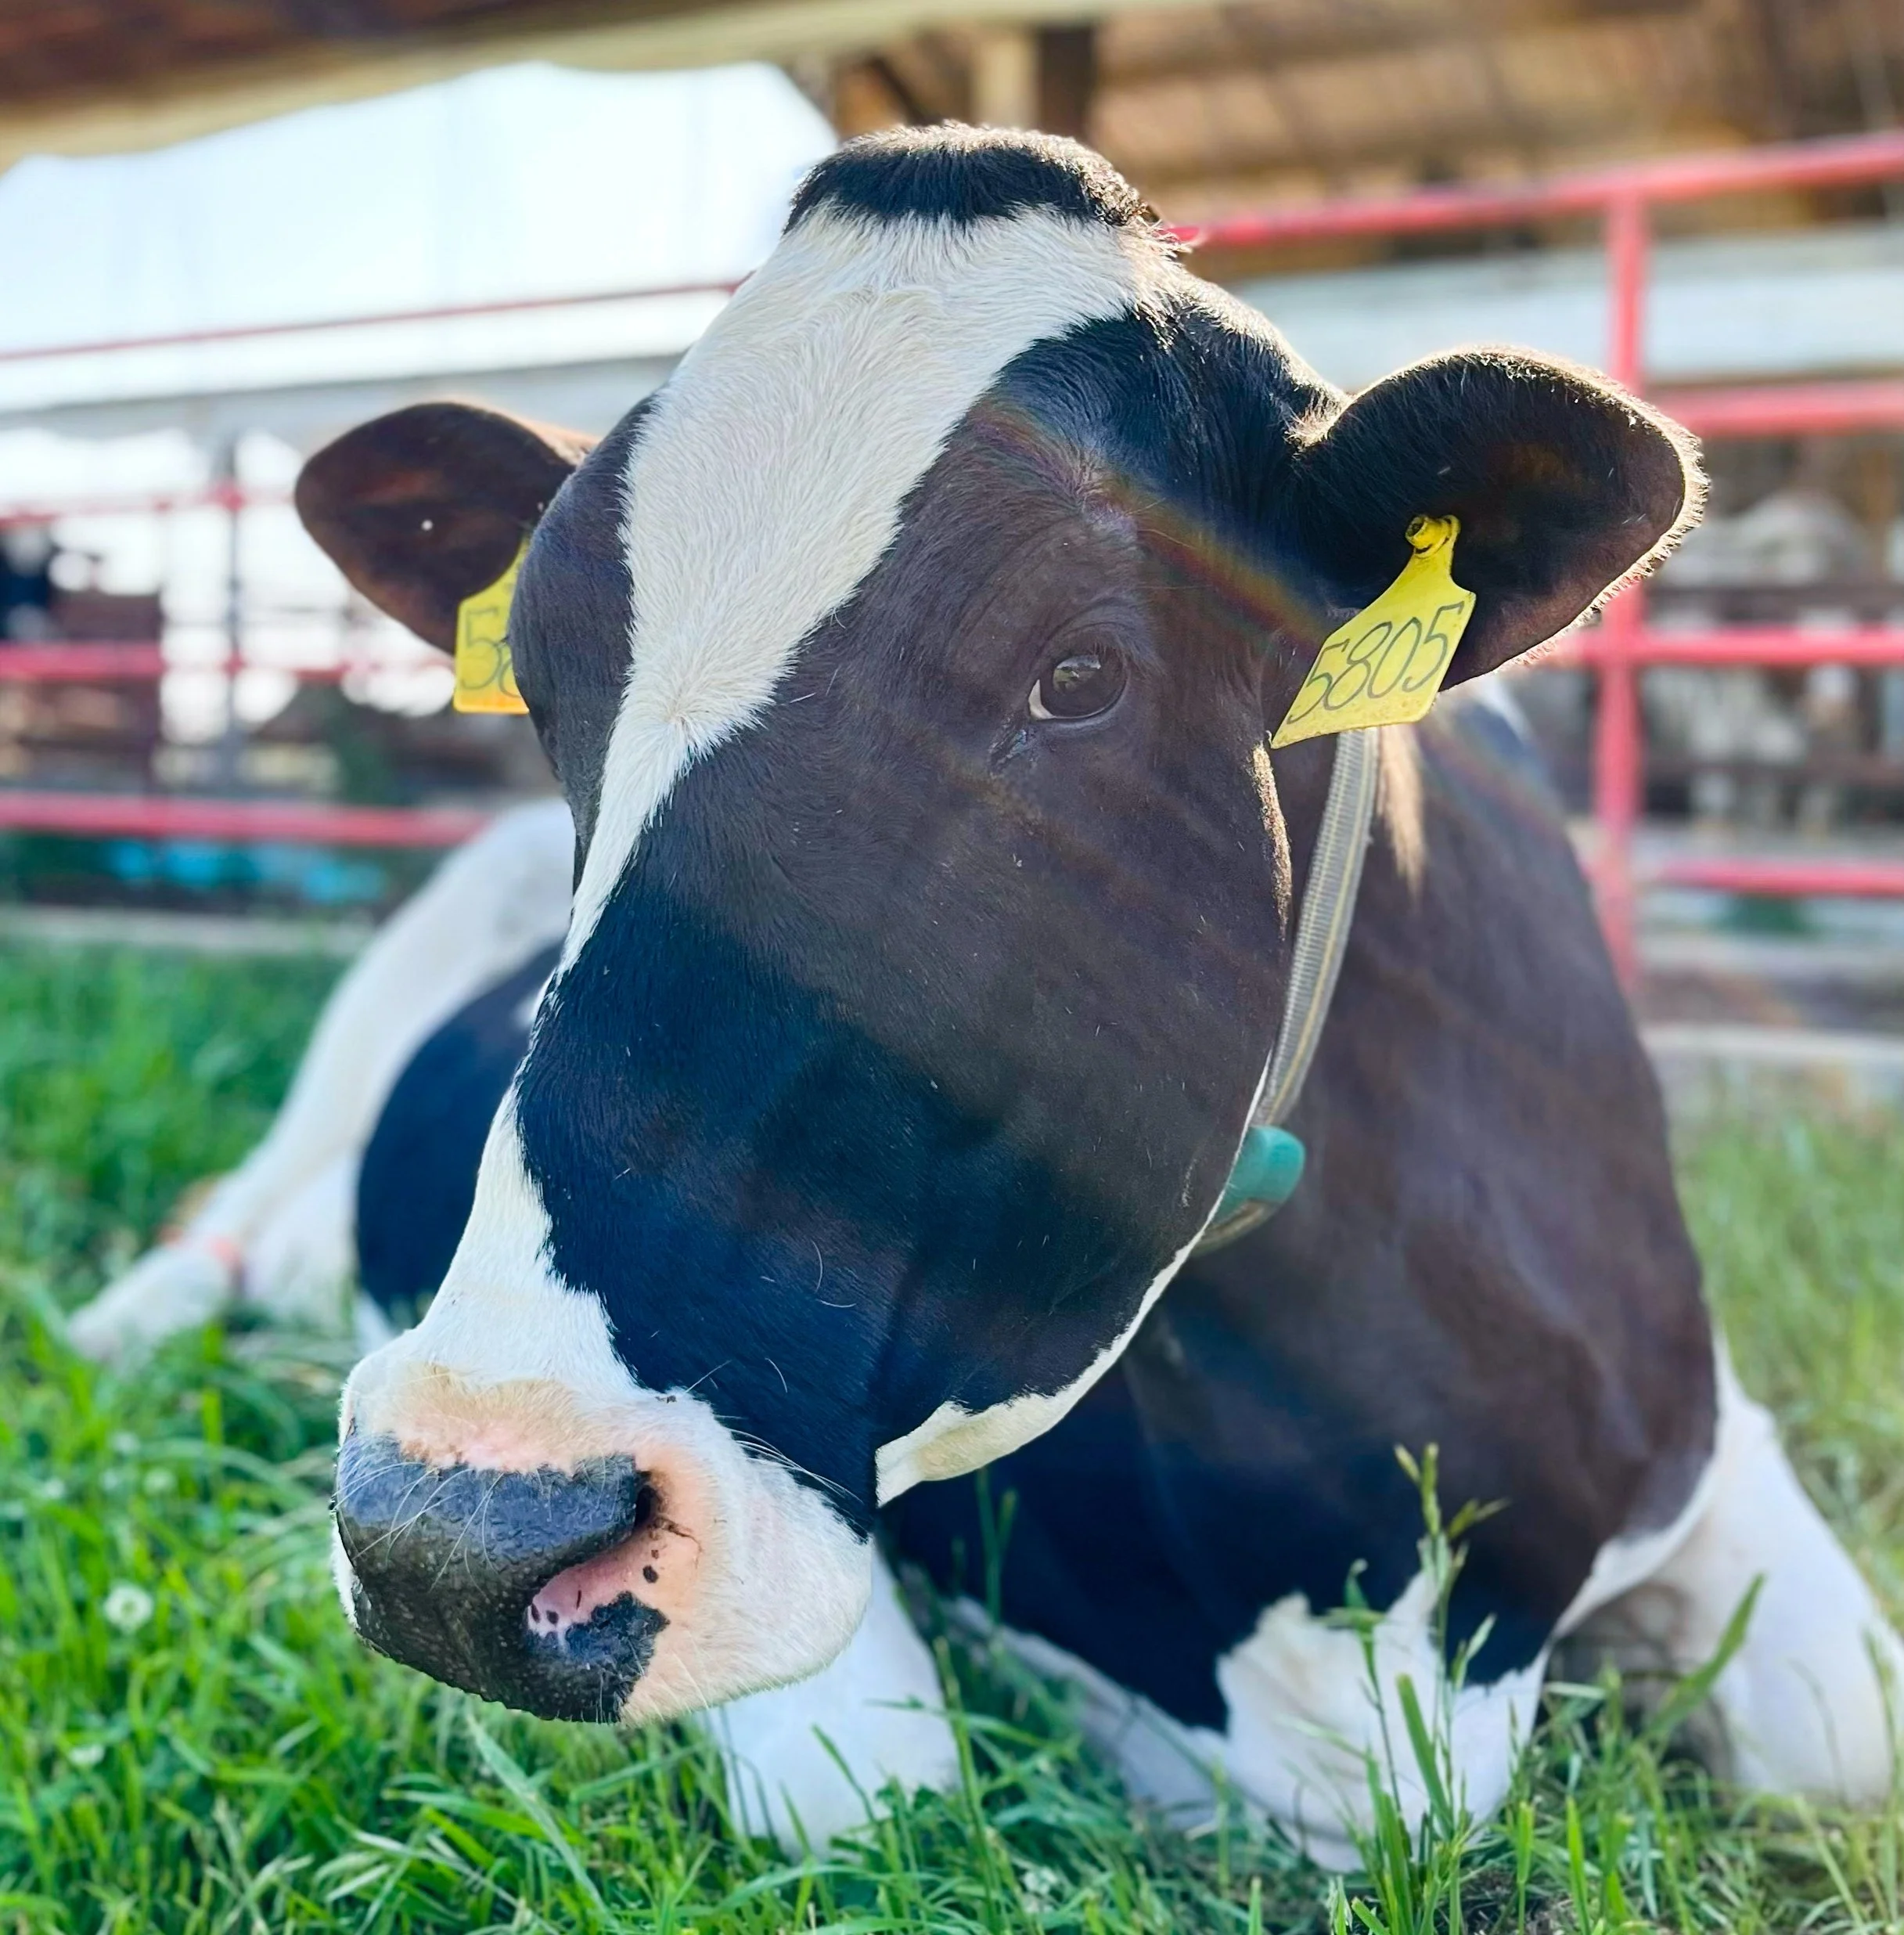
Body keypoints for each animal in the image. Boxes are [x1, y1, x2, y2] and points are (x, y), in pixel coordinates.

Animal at [74, 126, 1904, 1864]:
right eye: (536, 679)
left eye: (1076, 674)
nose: (456, 1535)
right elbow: (873, 1788)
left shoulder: (1699, 1429)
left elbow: (1844, 1737)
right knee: (236, 1209)